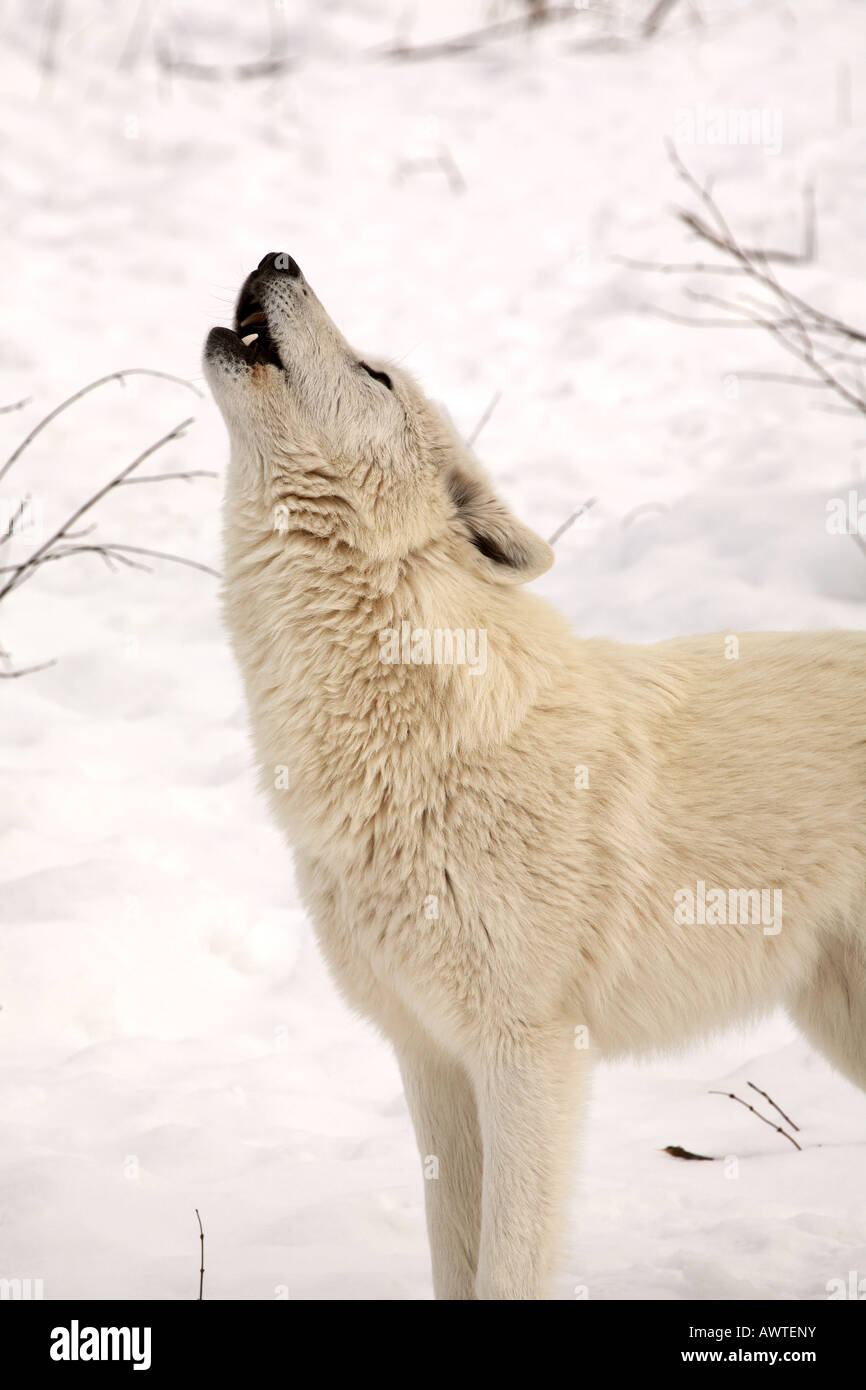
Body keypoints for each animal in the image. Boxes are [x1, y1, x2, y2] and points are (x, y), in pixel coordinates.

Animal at [205, 253, 866, 1300]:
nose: (278, 258)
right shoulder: (430, 1055)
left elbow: (510, 1268)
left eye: (375, 375)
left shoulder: (530, 1054)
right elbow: (455, 1261)